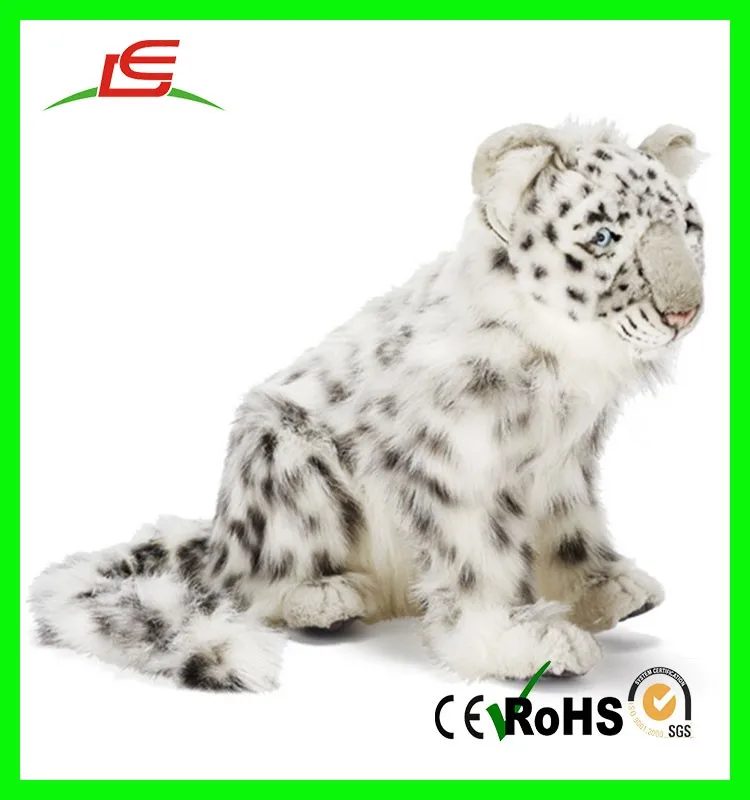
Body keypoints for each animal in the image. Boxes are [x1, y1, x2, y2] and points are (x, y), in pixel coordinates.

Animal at [30, 121, 706, 692]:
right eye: (605, 236)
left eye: (687, 226)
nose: (685, 311)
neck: (562, 372)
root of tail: (221, 535)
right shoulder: (456, 469)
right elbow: (480, 559)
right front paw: (522, 641)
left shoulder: (565, 464)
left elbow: (571, 531)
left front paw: (605, 588)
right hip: (284, 459)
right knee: (255, 587)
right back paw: (326, 599)